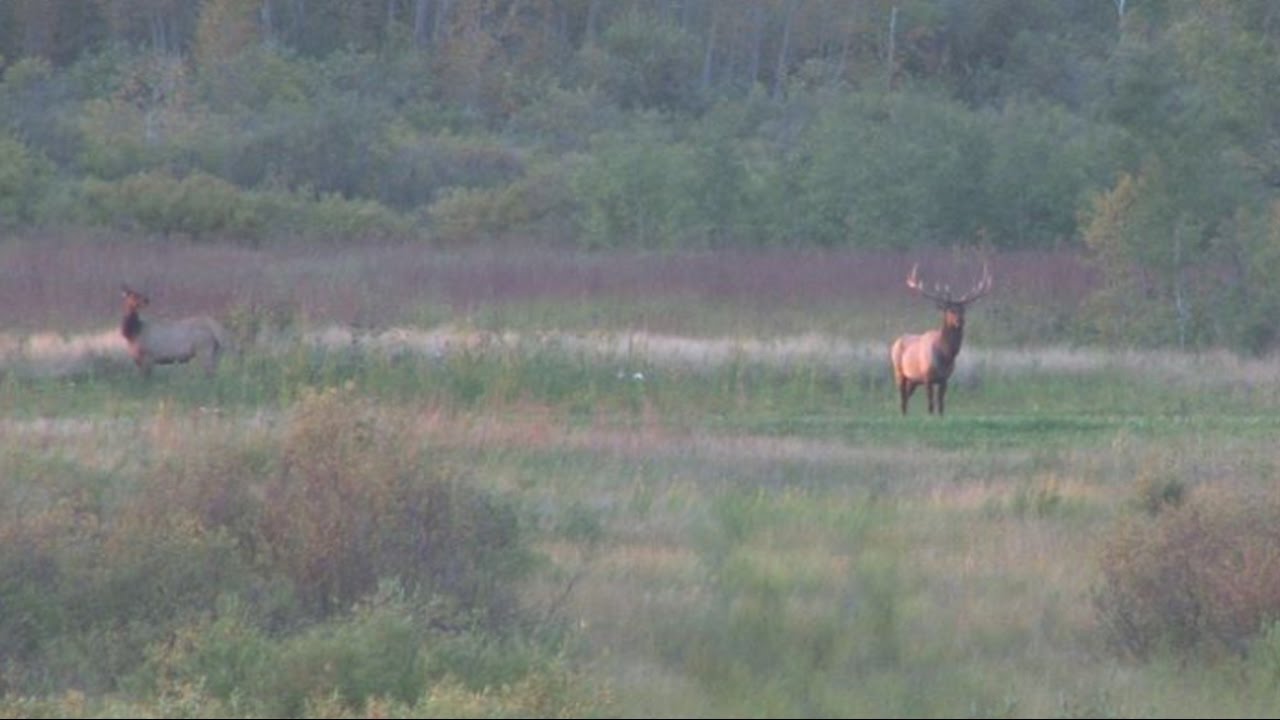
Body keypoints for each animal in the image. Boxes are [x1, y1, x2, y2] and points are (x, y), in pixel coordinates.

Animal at [890, 262, 992, 416]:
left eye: (963, 309)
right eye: (950, 310)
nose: (960, 321)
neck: (945, 356)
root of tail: (895, 343)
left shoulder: (945, 379)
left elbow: (941, 404)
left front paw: (941, 417)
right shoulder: (927, 377)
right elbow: (931, 405)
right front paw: (930, 417)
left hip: (913, 380)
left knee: (906, 397)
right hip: (899, 371)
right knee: (902, 398)